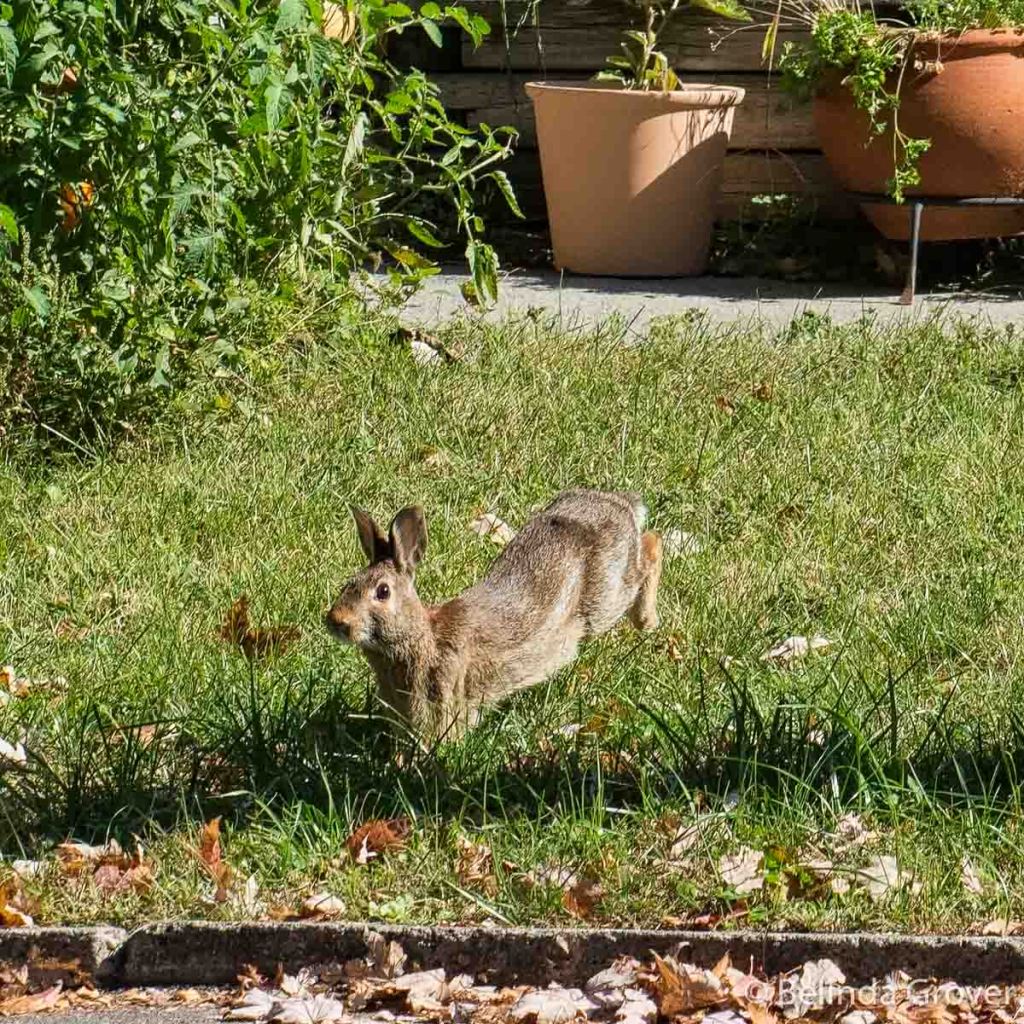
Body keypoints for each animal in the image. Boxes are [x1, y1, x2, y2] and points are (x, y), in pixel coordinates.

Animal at [325, 489, 663, 743]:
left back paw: (647, 620)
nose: (336, 621)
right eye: (348, 583)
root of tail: (618, 503)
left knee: (651, 545)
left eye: (382, 592)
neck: (420, 637)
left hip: (606, 596)